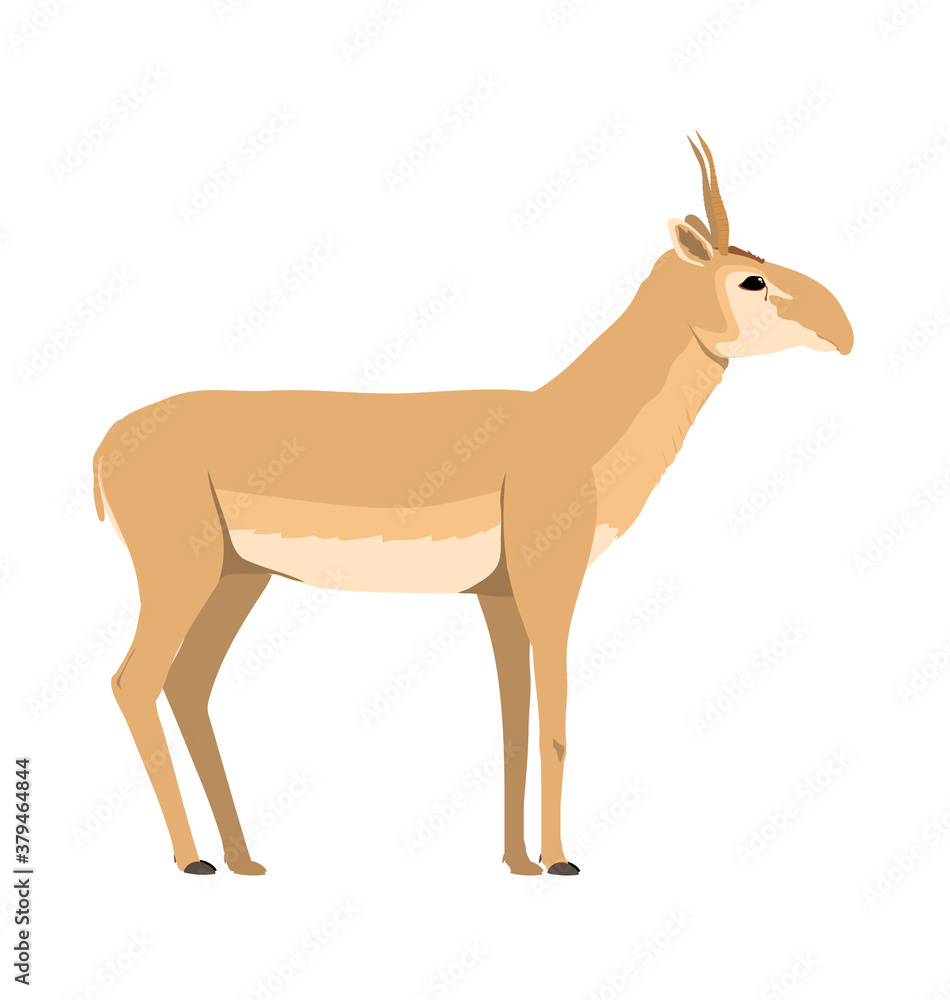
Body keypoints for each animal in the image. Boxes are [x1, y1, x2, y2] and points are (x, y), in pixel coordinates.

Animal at [95, 135, 853, 877]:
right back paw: (192, 858)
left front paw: (518, 861)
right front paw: (560, 860)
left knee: (187, 685)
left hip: (238, 578)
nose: (844, 330)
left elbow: (514, 721)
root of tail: (105, 445)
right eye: (750, 278)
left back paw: (242, 858)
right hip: (182, 575)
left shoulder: (499, 594)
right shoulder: (550, 581)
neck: (576, 425)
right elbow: (554, 721)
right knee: (135, 681)